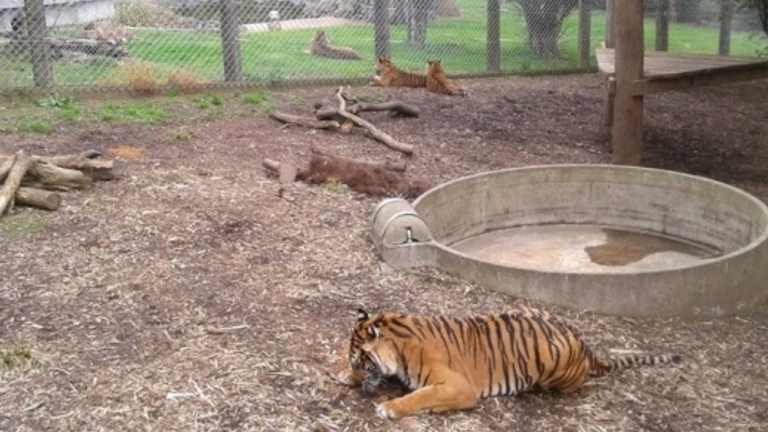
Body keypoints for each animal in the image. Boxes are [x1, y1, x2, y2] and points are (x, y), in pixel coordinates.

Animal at [338, 306, 681, 419]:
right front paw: (344, 375)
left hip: (554, 365)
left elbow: (422, 396)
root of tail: (583, 342)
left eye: (361, 361)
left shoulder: (457, 386)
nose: (354, 371)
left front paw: (389, 408)